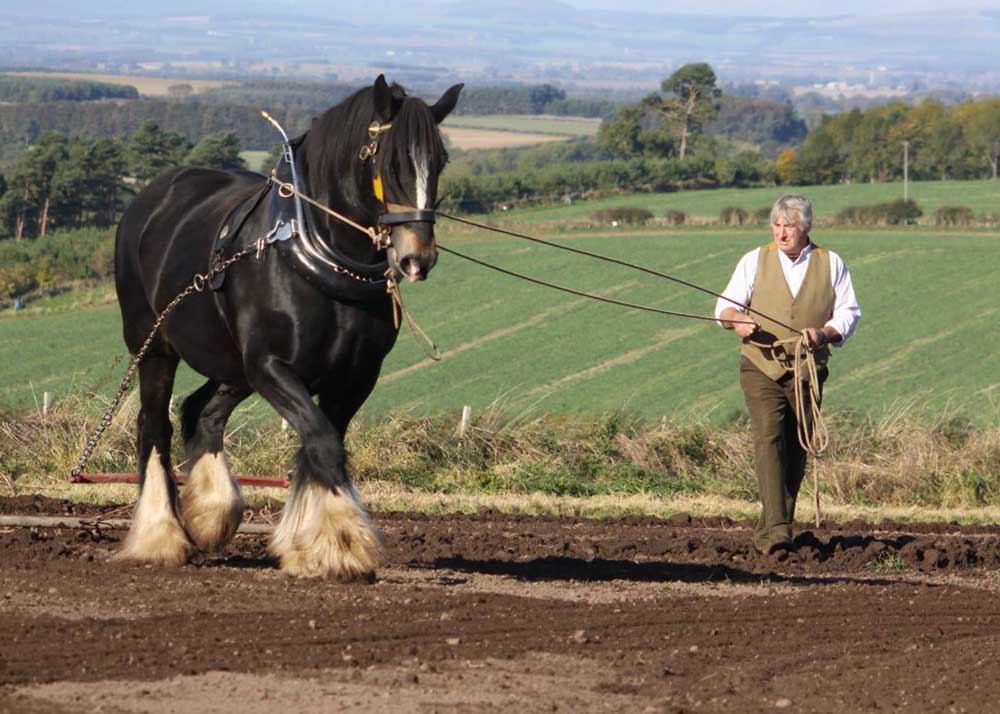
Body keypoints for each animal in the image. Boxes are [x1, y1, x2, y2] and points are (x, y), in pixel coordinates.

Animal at [113, 75, 462, 579]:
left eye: (440, 160)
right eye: (390, 160)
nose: (418, 257)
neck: (318, 254)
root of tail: (150, 198)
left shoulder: (354, 377)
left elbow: (320, 446)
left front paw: (309, 545)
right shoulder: (272, 366)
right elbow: (322, 442)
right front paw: (343, 543)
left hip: (233, 366)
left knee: (203, 412)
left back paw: (210, 511)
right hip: (155, 347)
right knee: (154, 425)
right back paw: (160, 535)